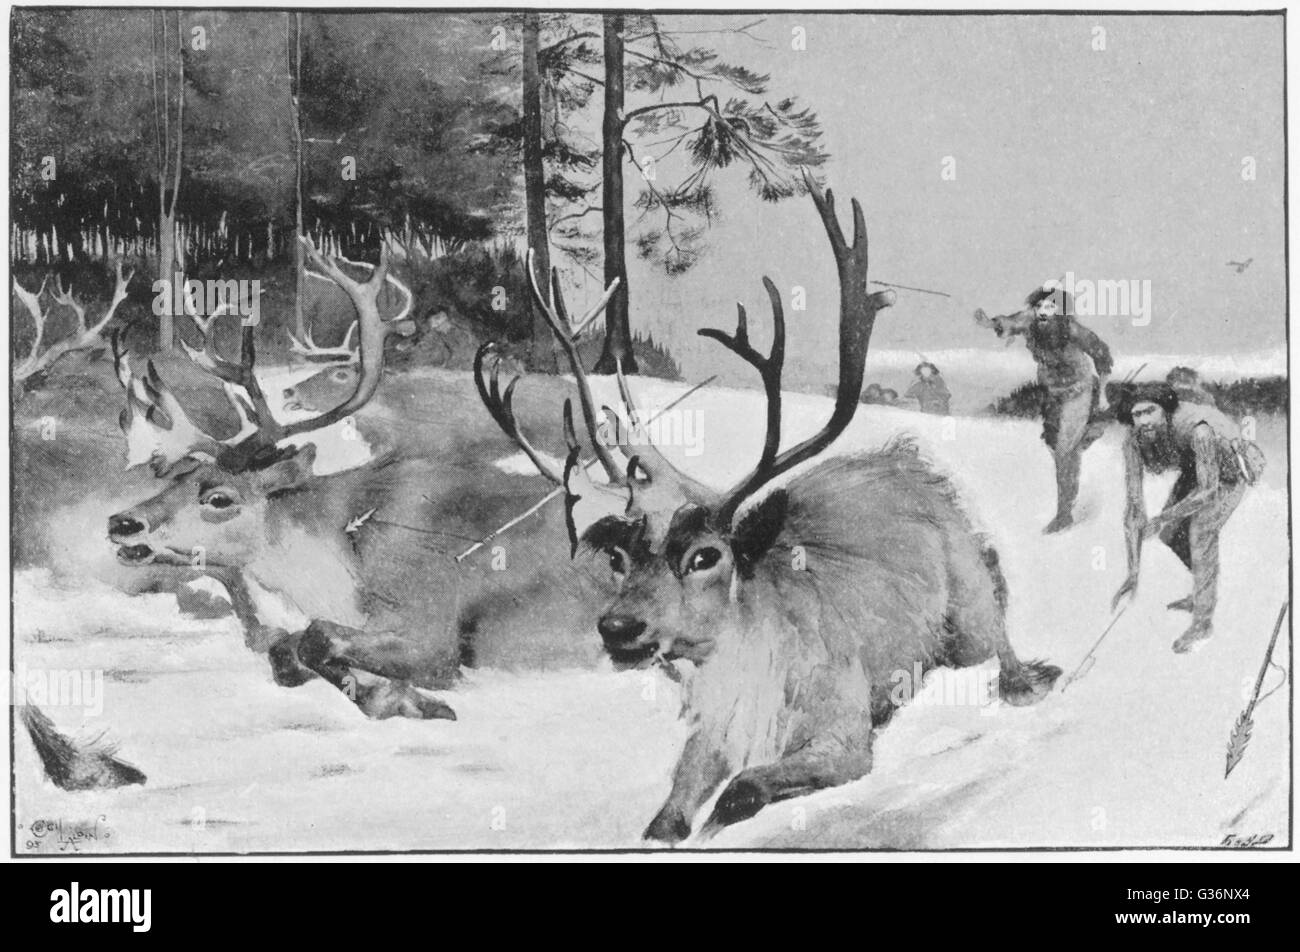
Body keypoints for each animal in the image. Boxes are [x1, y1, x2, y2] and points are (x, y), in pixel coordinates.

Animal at [475, 171, 1062, 844]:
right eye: (618, 558)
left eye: (706, 556)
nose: (617, 628)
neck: (752, 681)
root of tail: (915, 464)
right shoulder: (710, 733)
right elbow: (668, 812)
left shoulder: (844, 728)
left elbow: (742, 791)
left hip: (973, 605)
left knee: (1005, 652)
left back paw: (1028, 678)